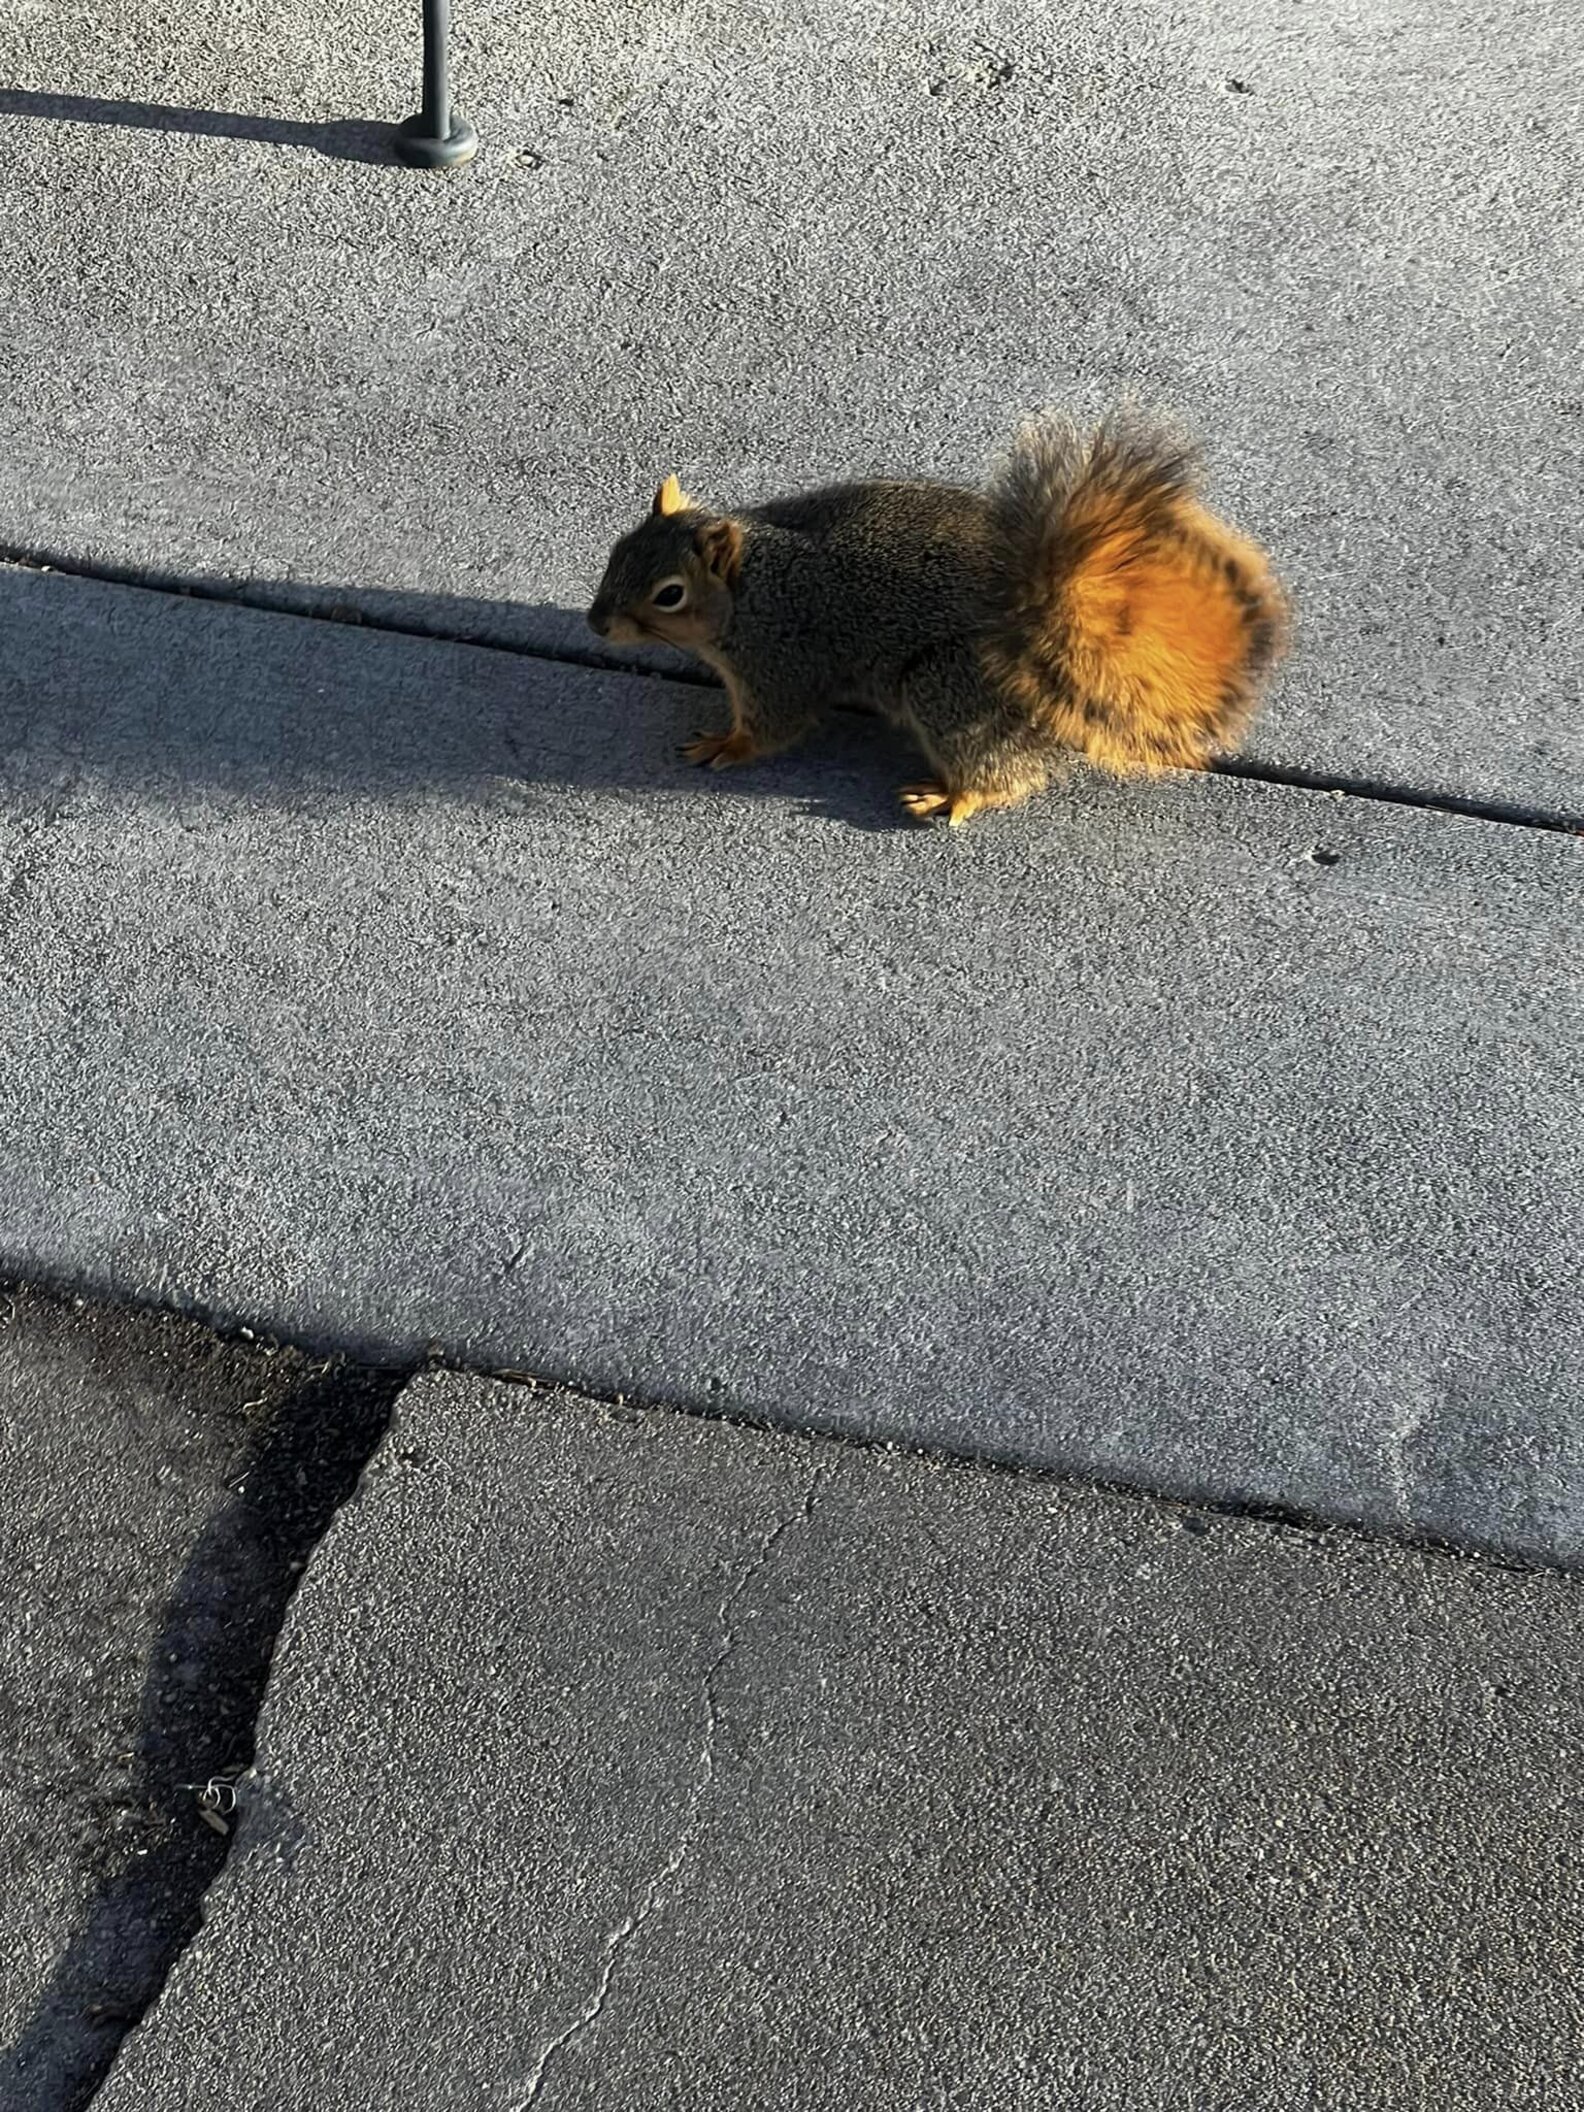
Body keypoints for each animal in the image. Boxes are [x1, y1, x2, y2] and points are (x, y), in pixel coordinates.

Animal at [587, 408, 1287, 826]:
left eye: (669, 594)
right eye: (620, 548)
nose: (597, 625)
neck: (757, 586)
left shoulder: (783, 659)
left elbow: (776, 727)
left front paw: (725, 744)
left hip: (952, 688)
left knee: (1002, 775)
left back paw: (954, 793)